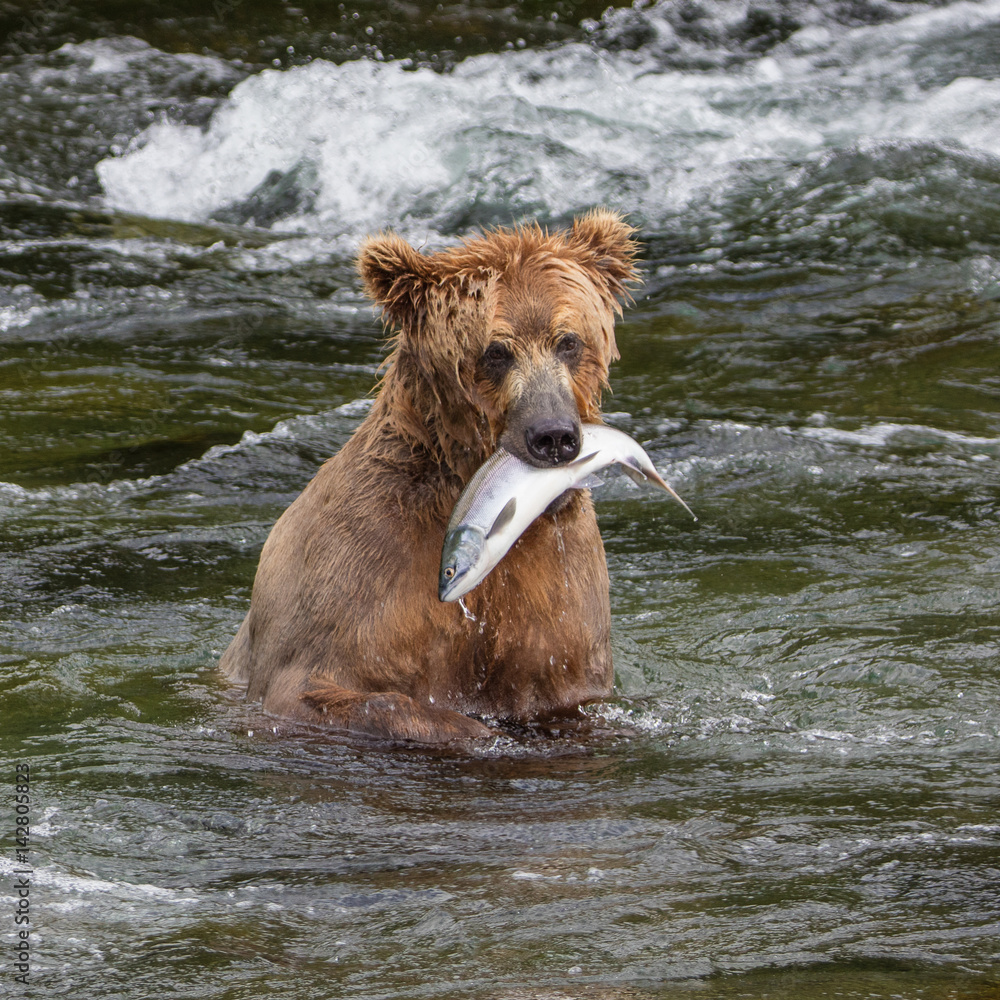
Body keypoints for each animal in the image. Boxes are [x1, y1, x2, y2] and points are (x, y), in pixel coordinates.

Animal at [219, 209, 639, 742]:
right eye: (496, 351)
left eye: (568, 341)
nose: (553, 434)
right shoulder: (365, 565)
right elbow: (322, 686)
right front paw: (472, 729)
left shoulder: (557, 583)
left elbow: (570, 686)